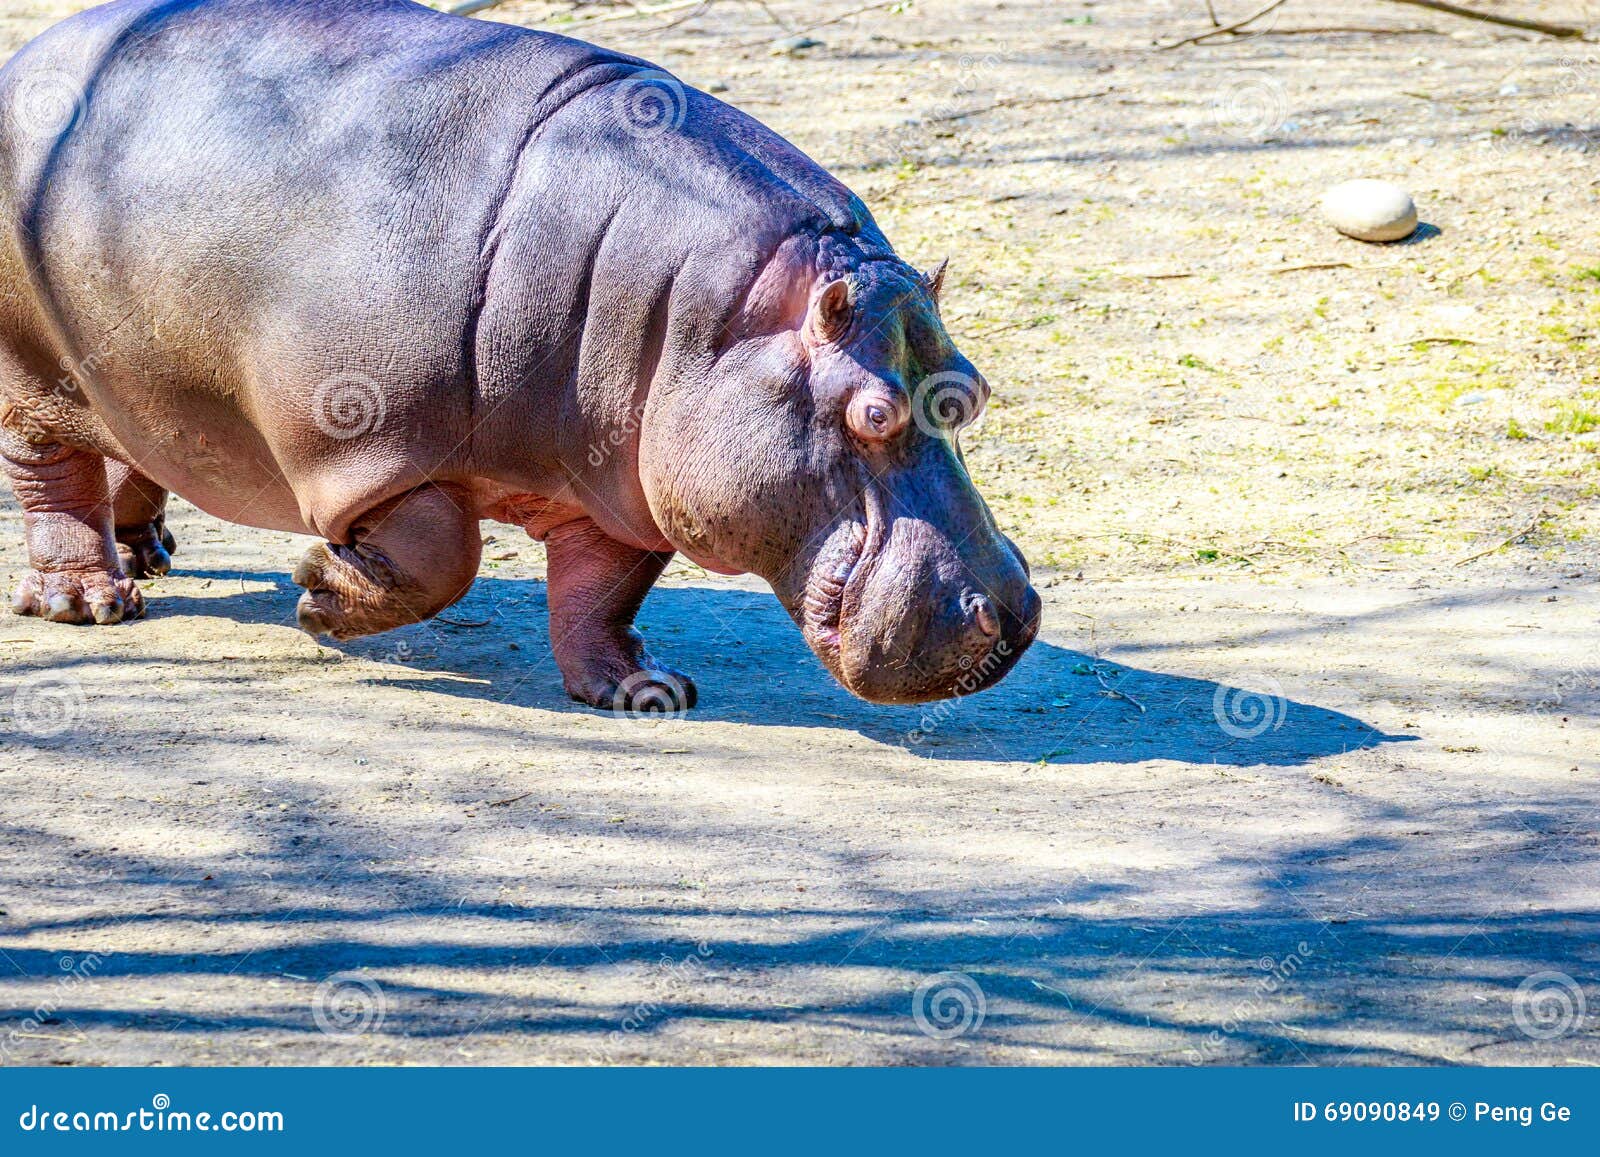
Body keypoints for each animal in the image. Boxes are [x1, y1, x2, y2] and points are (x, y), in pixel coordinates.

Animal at [0, 0, 1039, 711]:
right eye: (872, 412)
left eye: (972, 392)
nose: (1017, 613)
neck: (700, 314)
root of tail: (31, 53)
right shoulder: (367, 445)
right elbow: (442, 555)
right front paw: (318, 592)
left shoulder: (625, 483)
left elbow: (603, 591)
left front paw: (645, 692)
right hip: (34, 369)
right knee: (51, 473)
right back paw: (90, 601)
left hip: (140, 384)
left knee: (139, 450)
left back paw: (149, 552)